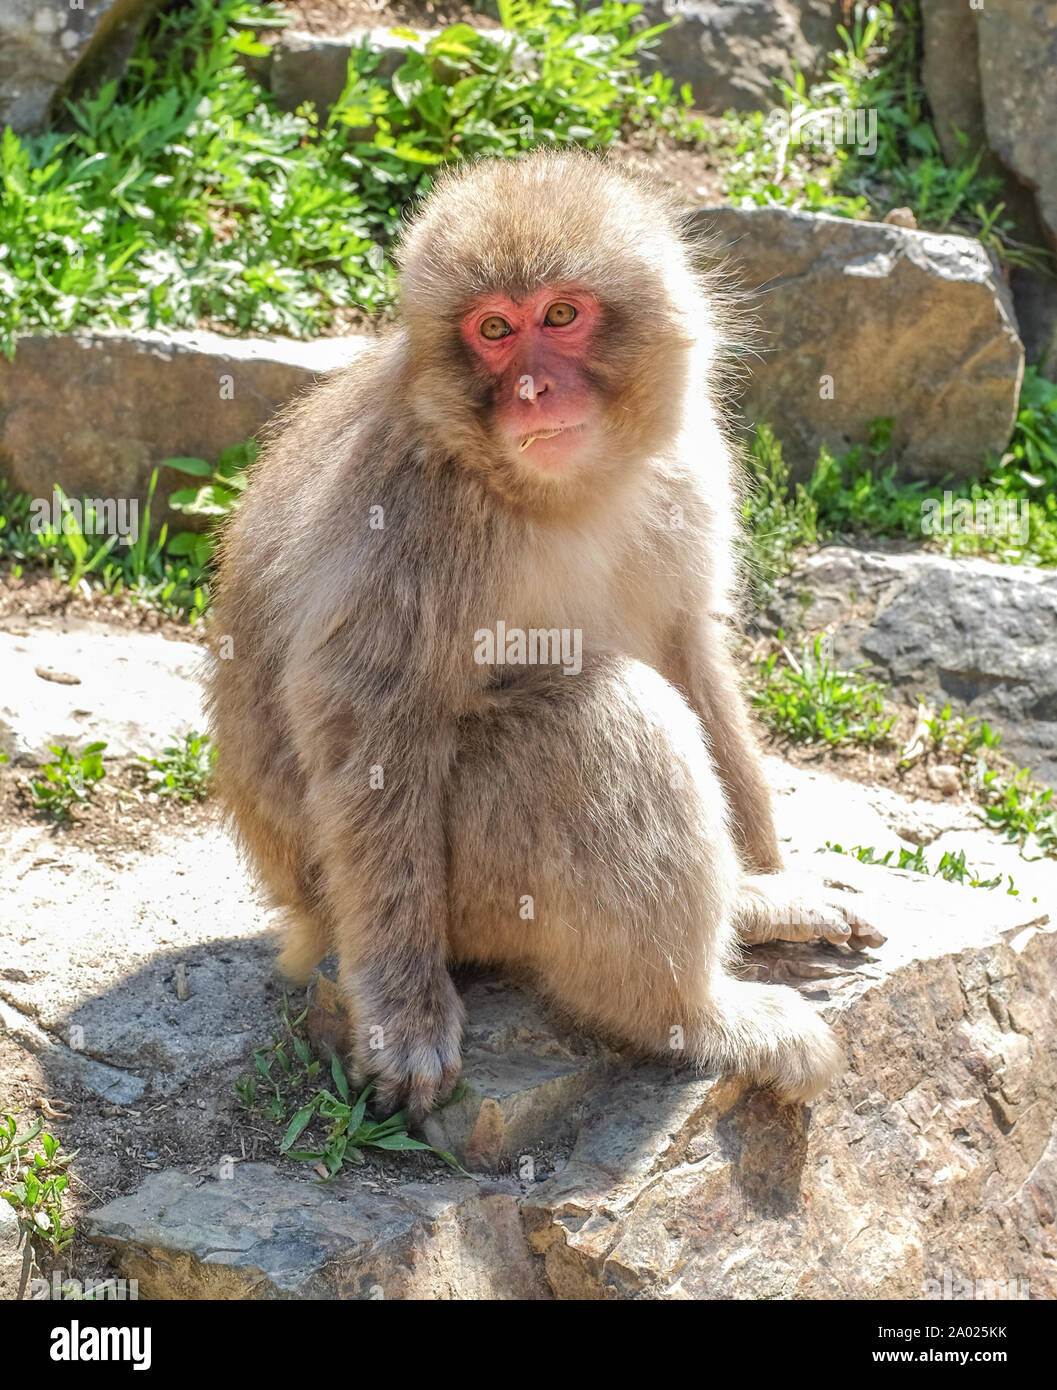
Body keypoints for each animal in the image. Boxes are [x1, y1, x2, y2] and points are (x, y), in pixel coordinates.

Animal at [207, 149, 881, 1122]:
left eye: (560, 315)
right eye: (493, 329)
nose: (530, 389)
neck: (558, 492)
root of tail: (306, 914)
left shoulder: (684, 470)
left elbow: (686, 641)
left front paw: (771, 881)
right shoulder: (412, 512)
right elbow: (364, 711)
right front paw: (403, 1011)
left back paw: (742, 911)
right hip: (466, 897)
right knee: (597, 716)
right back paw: (689, 1014)